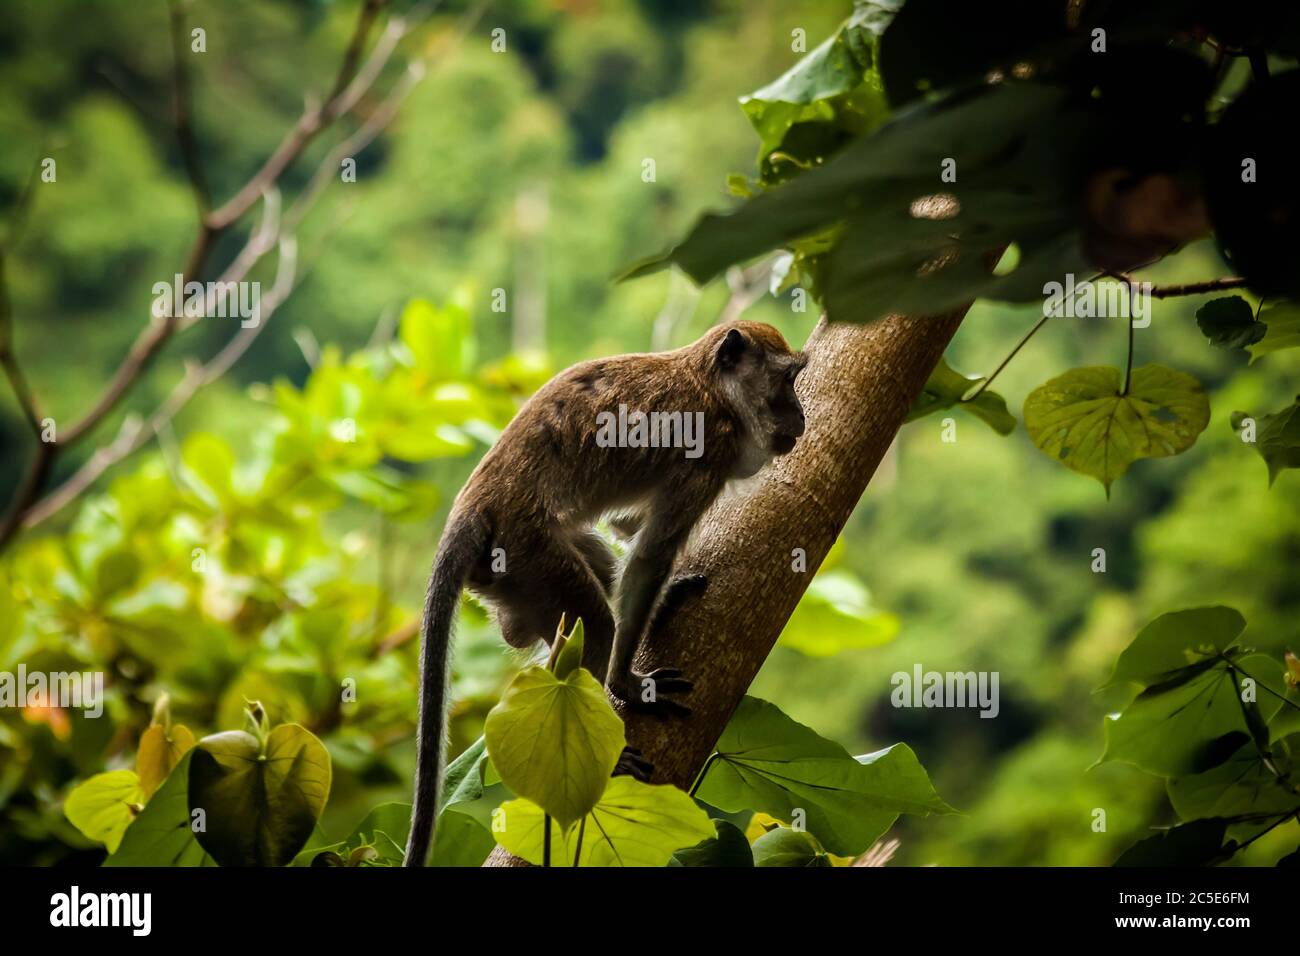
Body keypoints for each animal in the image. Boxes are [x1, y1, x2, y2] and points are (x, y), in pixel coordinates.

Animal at [403, 320, 808, 866]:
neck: (711, 387)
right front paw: (626, 685)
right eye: (785, 381)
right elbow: (649, 557)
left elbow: (626, 527)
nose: (800, 416)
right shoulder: (709, 450)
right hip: (525, 549)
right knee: (596, 621)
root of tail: (472, 508)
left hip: (512, 575)